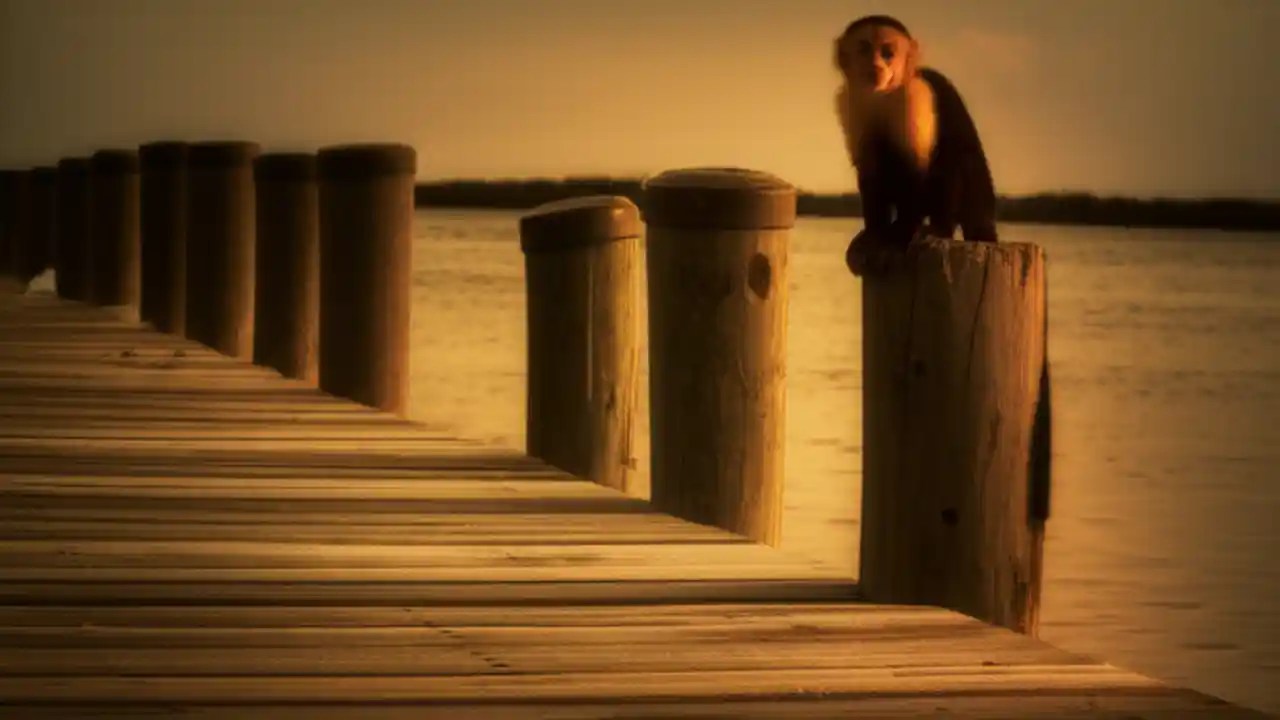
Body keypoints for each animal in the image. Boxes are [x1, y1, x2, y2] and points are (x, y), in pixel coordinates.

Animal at [833, 15, 999, 276]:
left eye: (887, 53)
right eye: (864, 50)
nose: (876, 66)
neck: (884, 95)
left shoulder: (914, 95)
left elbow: (915, 167)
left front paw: (900, 232)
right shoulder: (850, 101)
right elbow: (868, 167)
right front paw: (874, 233)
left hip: (972, 194)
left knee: (951, 160)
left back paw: (939, 228)